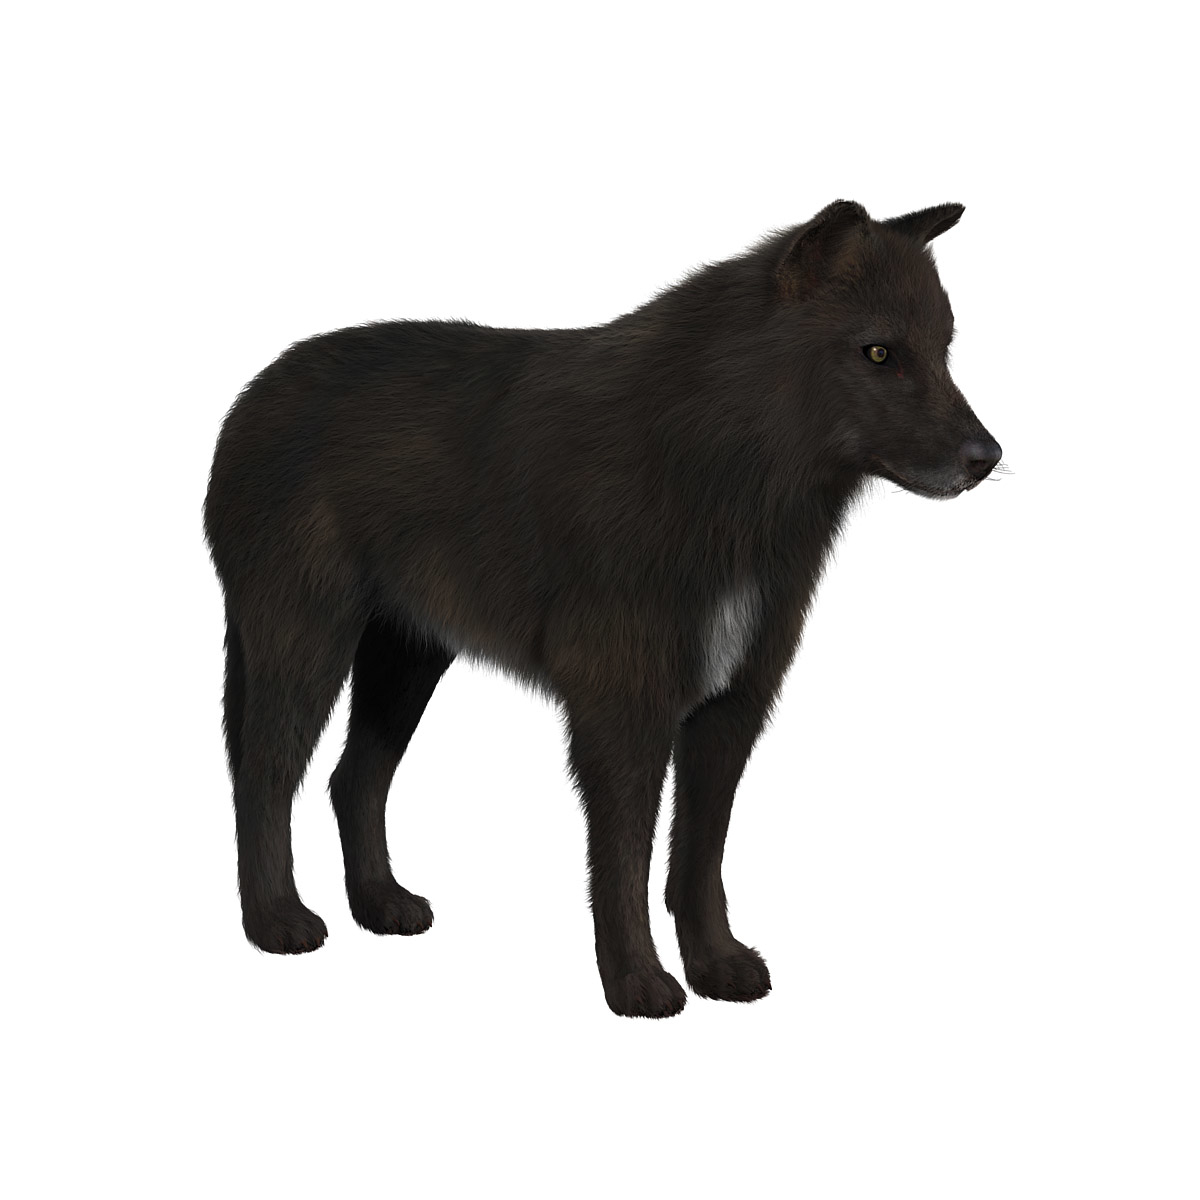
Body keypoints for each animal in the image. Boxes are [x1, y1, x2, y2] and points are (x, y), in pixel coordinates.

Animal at [203, 199, 1002, 1018]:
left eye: (944, 350)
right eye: (879, 353)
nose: (988, 458)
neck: (720, 457)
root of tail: (253, 396)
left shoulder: (729, 712)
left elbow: (698, 859)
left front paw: (716, 966)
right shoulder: (622, 711)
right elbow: (623, 863)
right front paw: (638, 984)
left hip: (407, 658)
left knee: (353, 778)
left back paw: (381, 904)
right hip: (306, 641)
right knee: (263, 774)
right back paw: (275, 921)